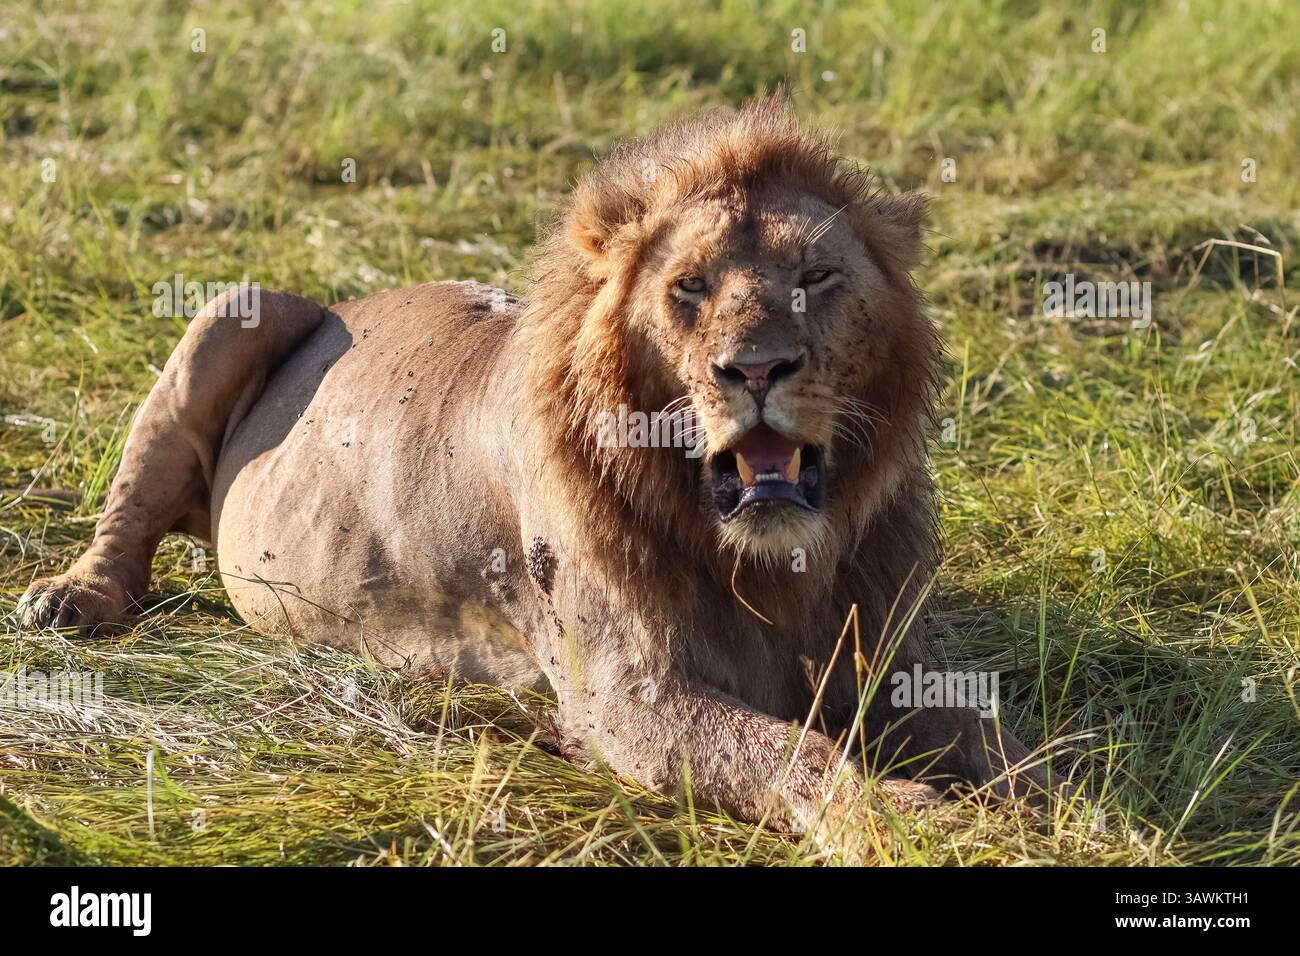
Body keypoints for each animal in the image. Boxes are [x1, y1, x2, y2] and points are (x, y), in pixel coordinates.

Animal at [17, 98, 1050, 845]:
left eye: (817, 279)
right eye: (690, 288)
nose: (756, 369)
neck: (767, 564)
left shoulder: (892, 654)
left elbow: (989, 735)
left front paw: (1054, 795)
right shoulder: (626, 697)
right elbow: (796, 754)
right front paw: (907, 819)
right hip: (240, 303)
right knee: (128, 517)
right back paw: (67, 600)